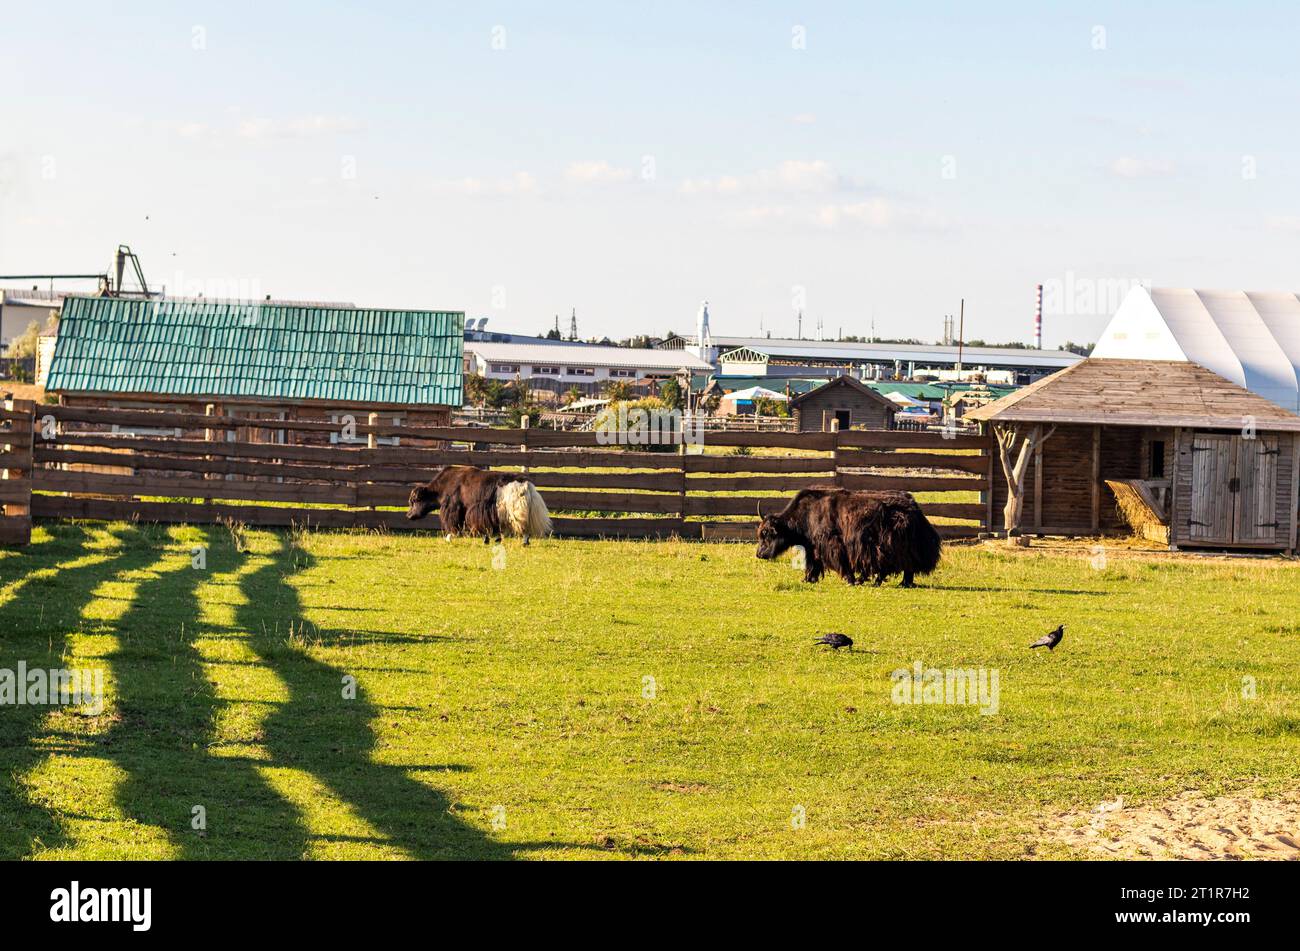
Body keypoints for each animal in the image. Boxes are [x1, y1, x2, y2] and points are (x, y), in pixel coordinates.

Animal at [756, 487, 941, 586]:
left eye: (766, 534)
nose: (759, 554)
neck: (805, 515)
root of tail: (914, 508)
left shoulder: (831, 543)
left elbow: (839, 561)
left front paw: (849, 579)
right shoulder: (814, 546)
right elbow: (813, 563)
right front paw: (808, 579)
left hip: (893, 546)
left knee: (898, 565)